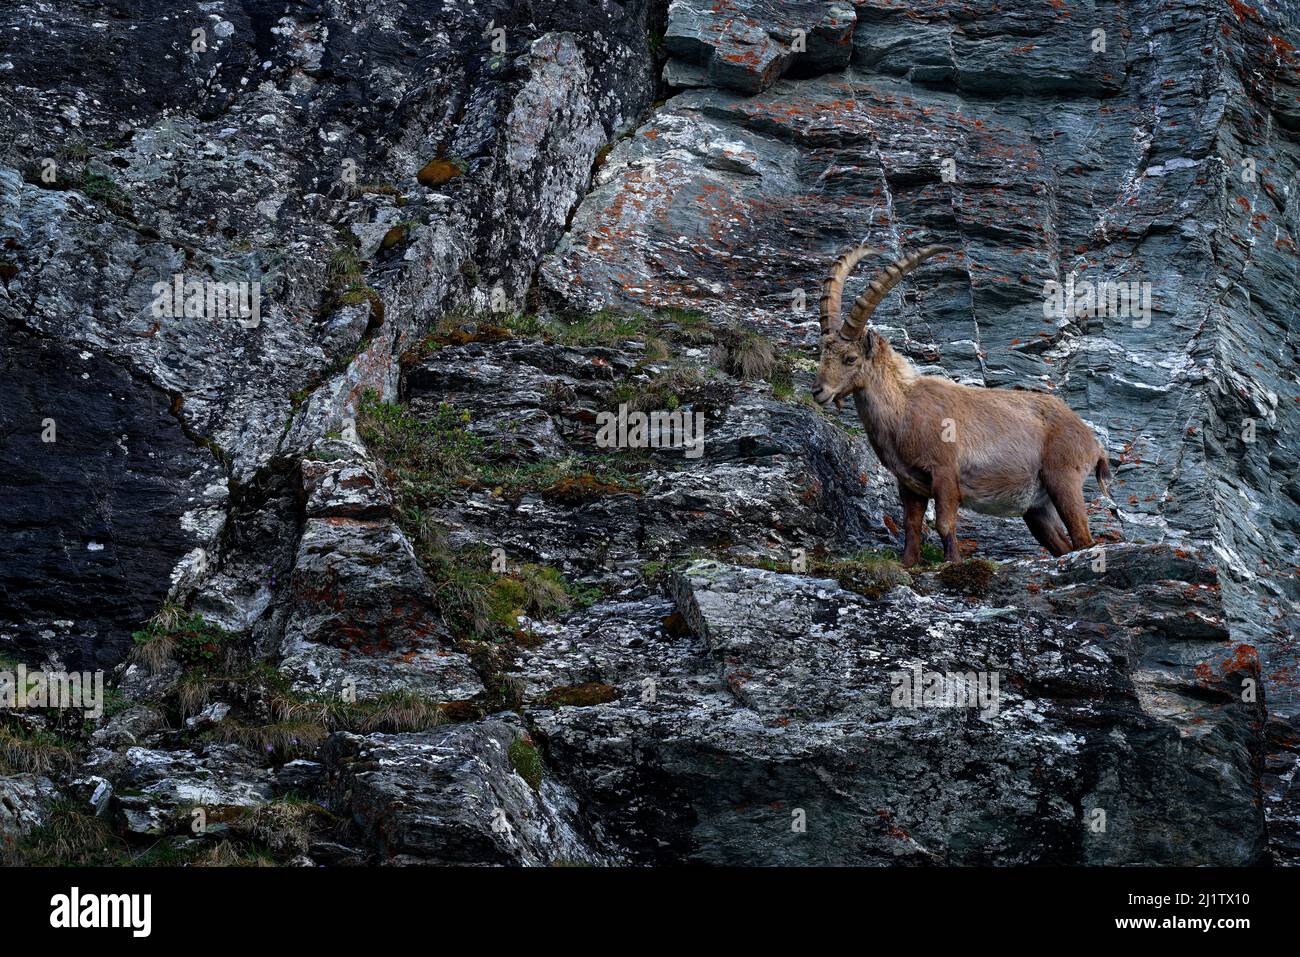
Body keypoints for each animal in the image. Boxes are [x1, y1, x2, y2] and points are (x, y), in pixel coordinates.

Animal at [811, 244, 1111, 567]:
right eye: (822, 353)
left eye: (850, 358)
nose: (818, 391)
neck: (904, 409)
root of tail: (1092, 442)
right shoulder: (910, 484)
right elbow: (911, 526)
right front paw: (908, 564)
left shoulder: (945, 472)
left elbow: (945, 523)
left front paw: (953, 563)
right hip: (1037, 507)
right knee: (1063, 544)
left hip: (1064, 479)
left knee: (1083, 539)